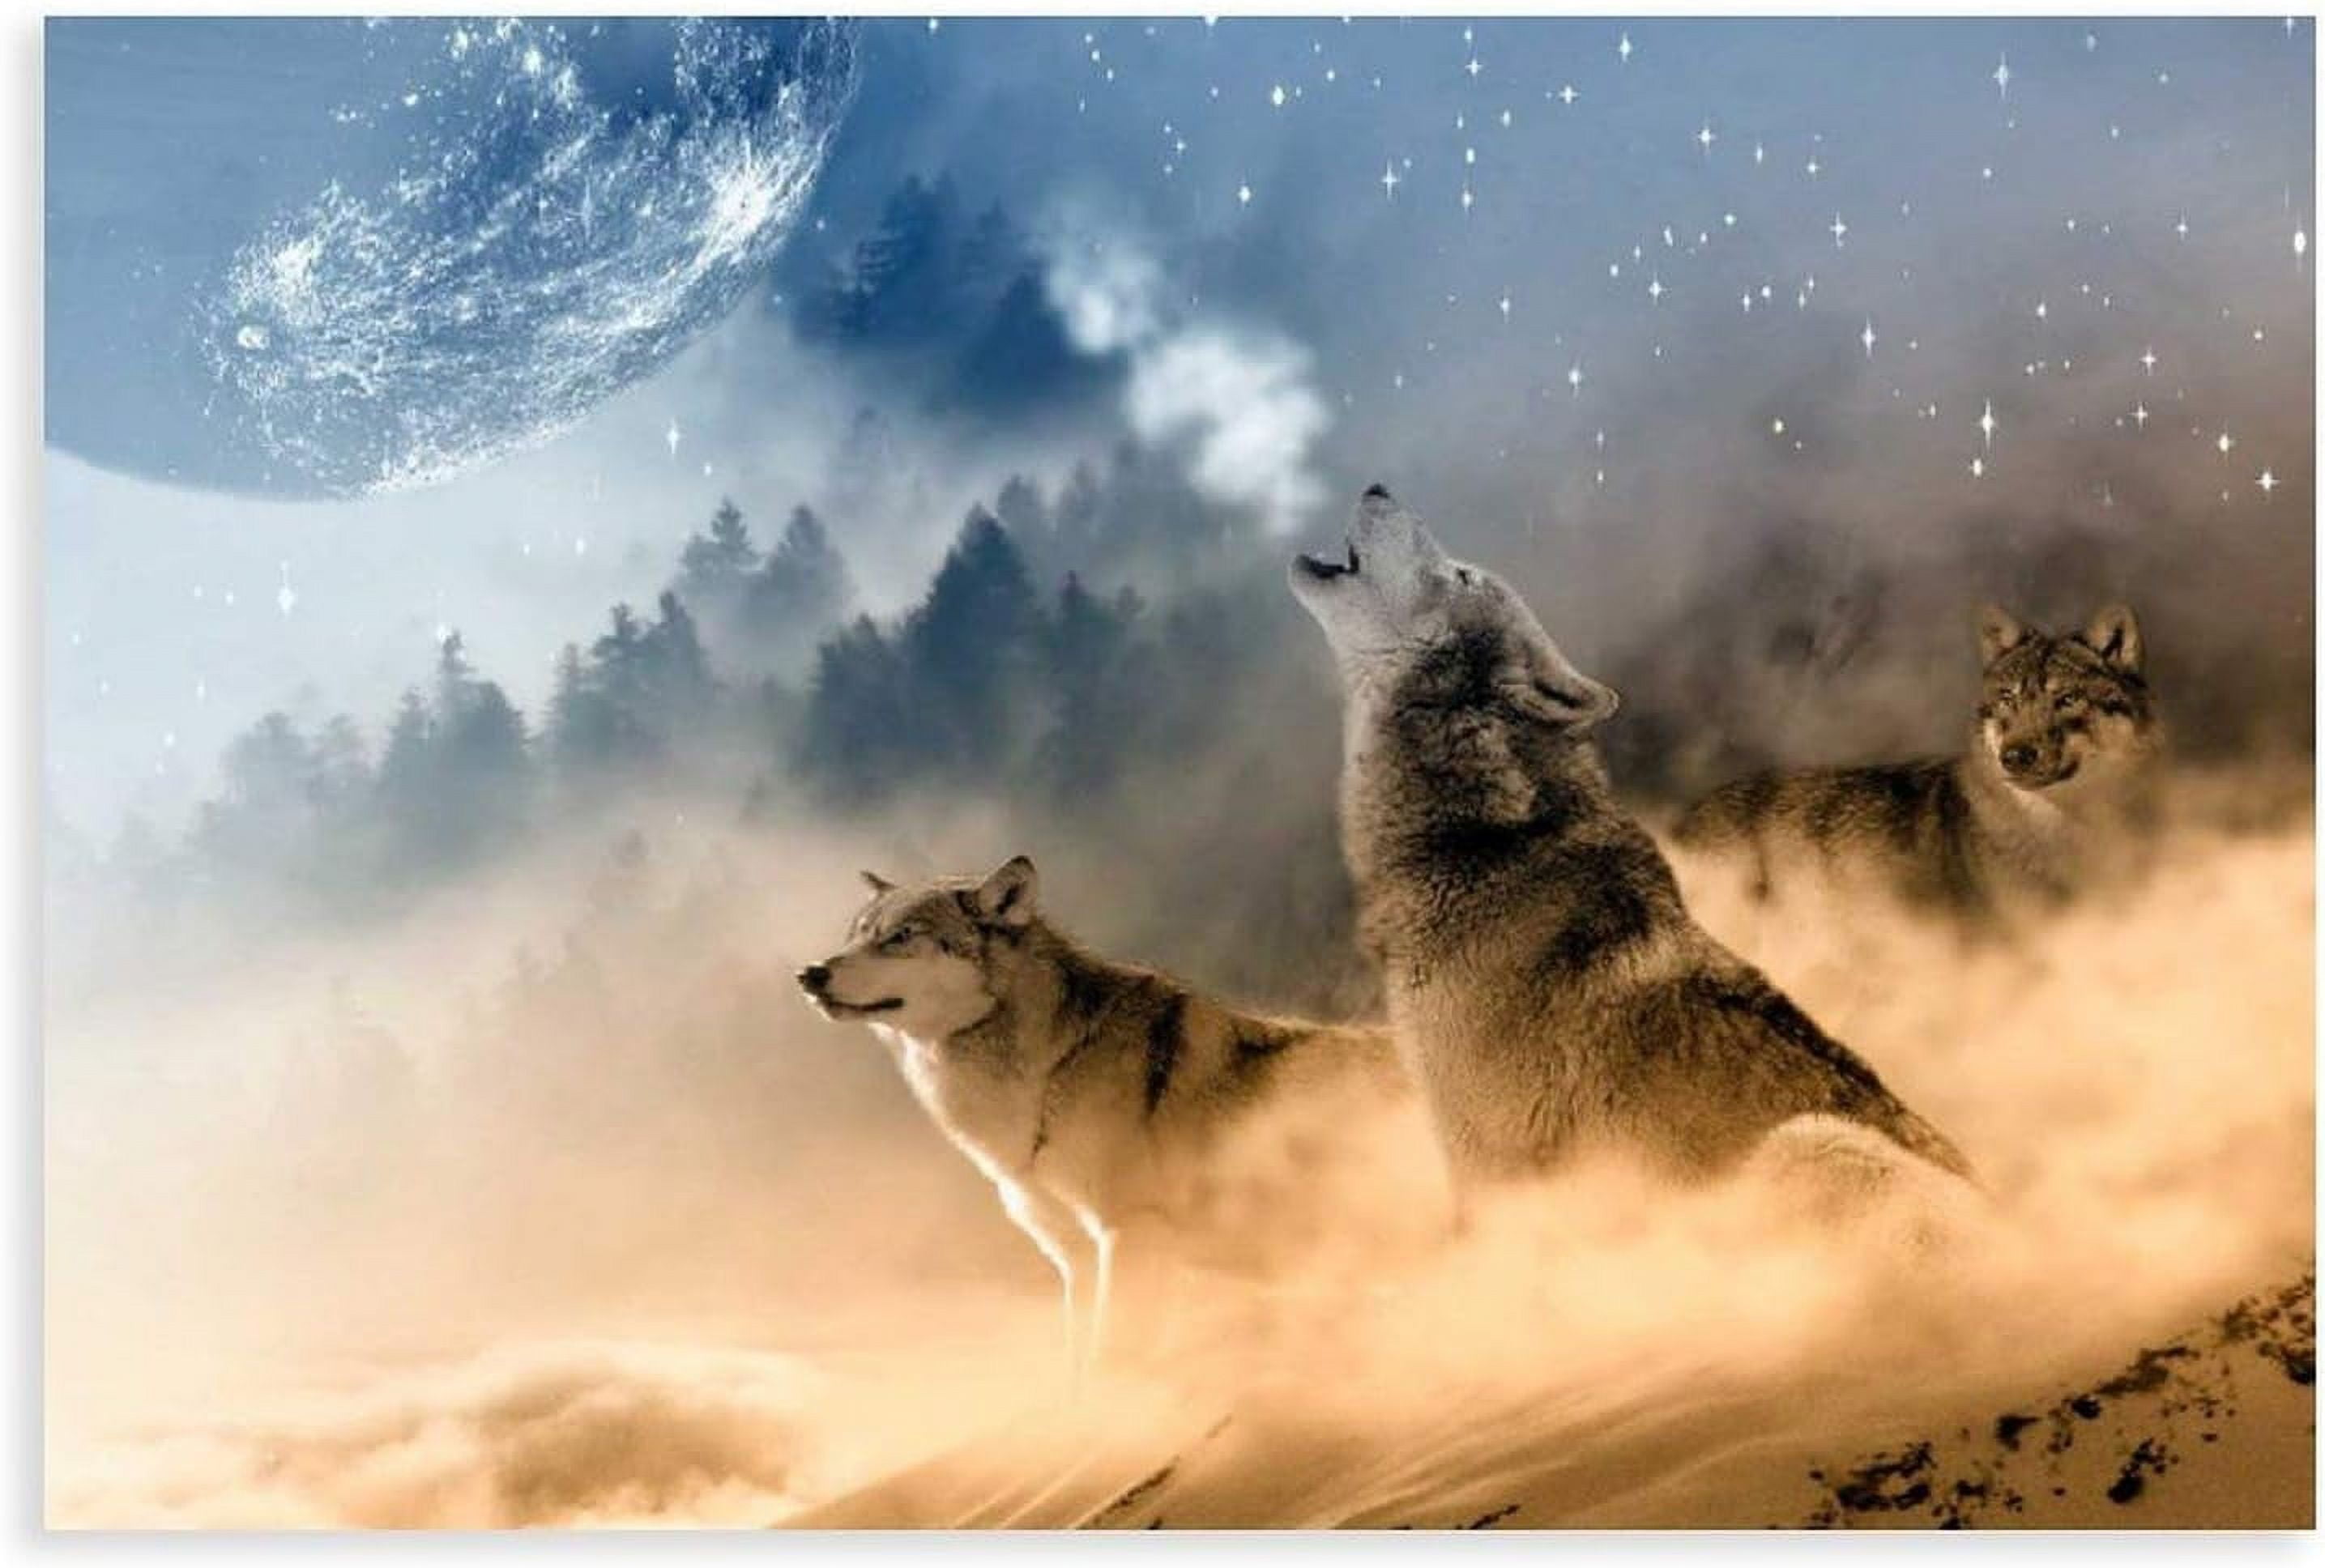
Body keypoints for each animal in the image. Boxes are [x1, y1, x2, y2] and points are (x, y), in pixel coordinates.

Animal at [797, 855, 1424, 1370]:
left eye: (902, 937)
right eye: (856, 936)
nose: (811, 974)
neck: (1050, 1072)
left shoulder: (1130, 1236)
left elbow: (1109, 1367)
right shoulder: (1075, 1260)